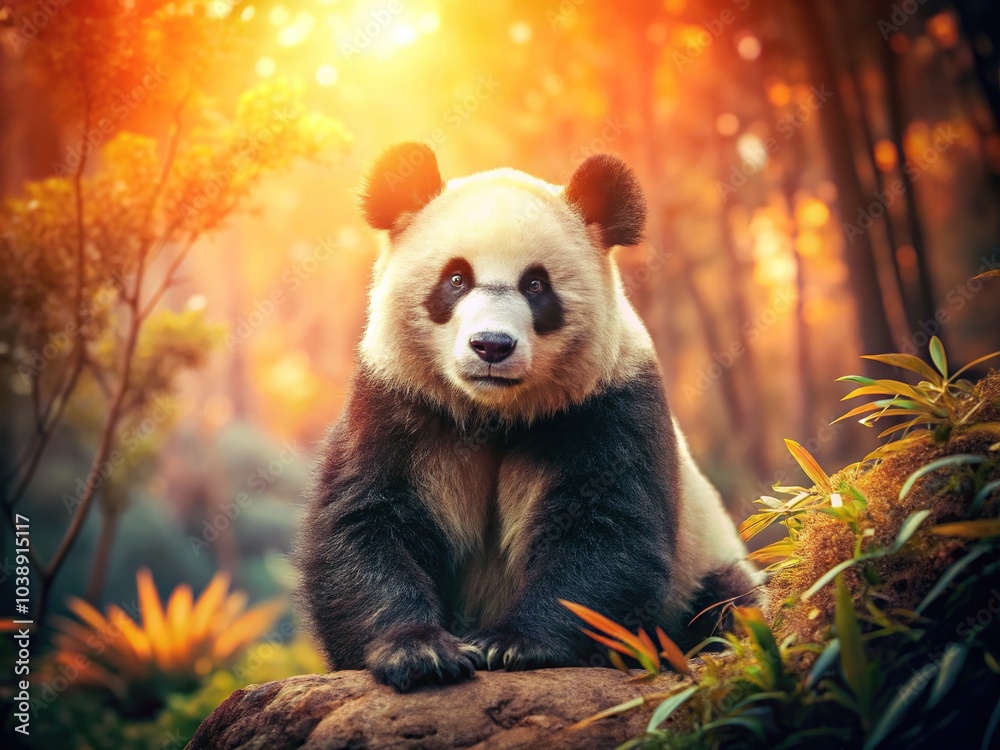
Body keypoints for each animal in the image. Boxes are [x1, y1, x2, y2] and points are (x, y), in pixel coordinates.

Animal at [296, 142, 760, 691]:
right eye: (456, 279)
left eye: (536, 284)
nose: (492, 345)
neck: (493, 412)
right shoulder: (398, 402)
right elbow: (368, 520)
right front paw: (421, 651)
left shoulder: (606, 404)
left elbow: (605, 530)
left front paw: (513, 645)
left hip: (707, 562)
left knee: (728, 603)